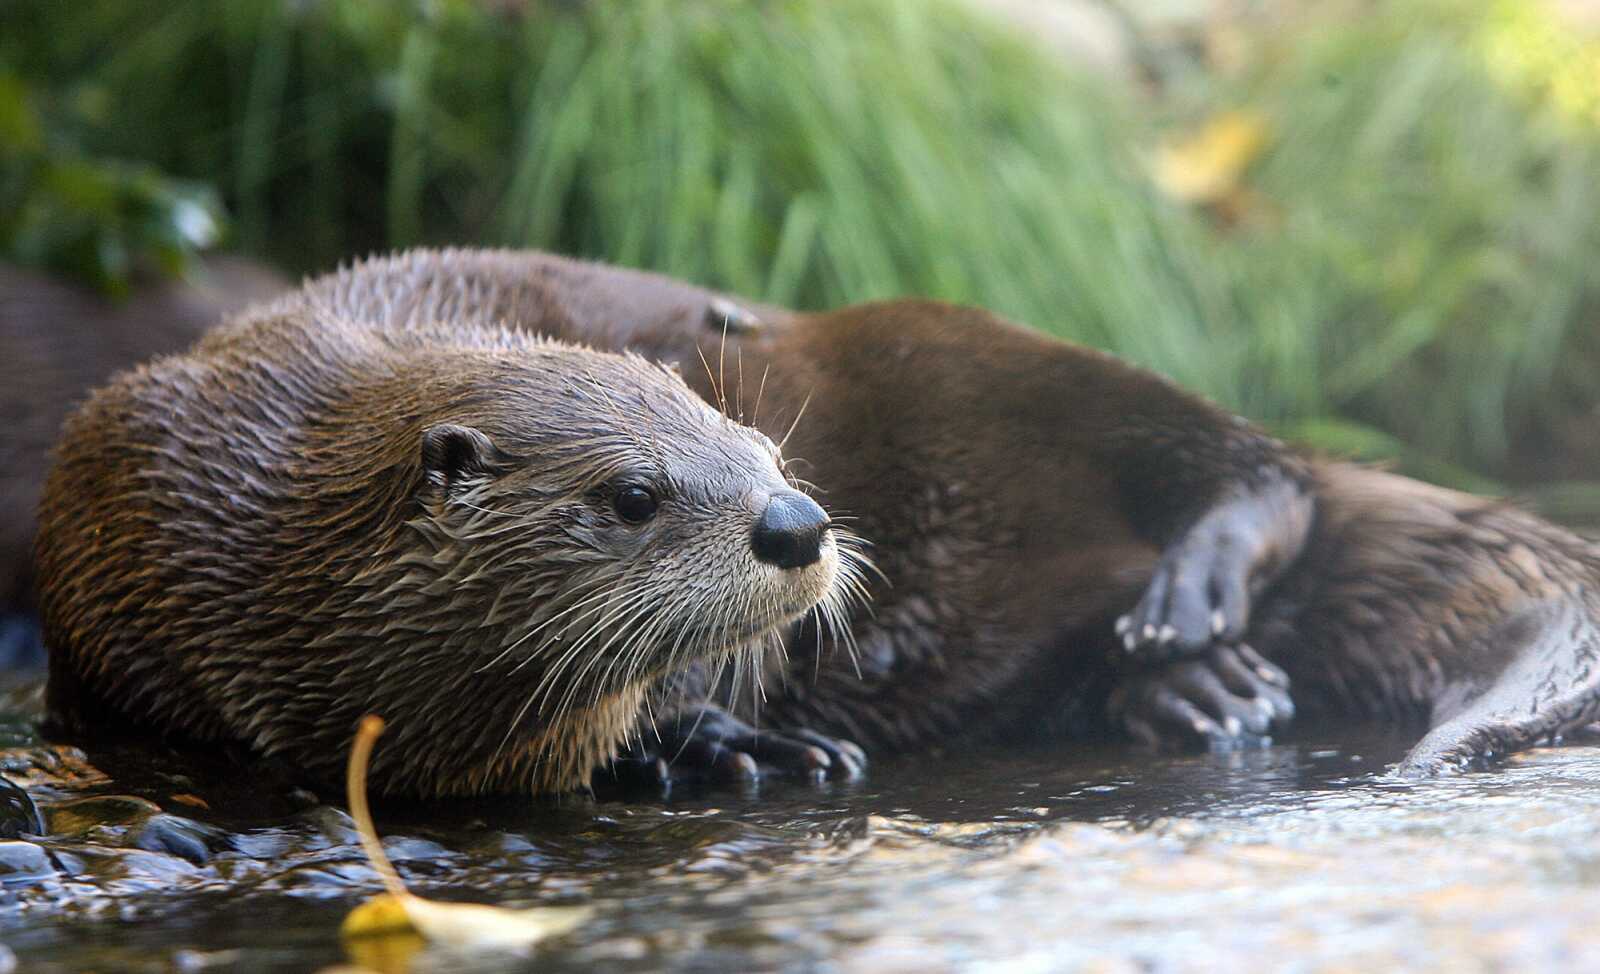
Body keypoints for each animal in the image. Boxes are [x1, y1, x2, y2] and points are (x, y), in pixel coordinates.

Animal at [268, 249, 1599, 779]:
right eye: (632, 497)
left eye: (750, 451)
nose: (792, 518)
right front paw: (718, 742)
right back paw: (1191, 687)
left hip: (971, 344)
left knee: (1259, 464)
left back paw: (1190, 607)